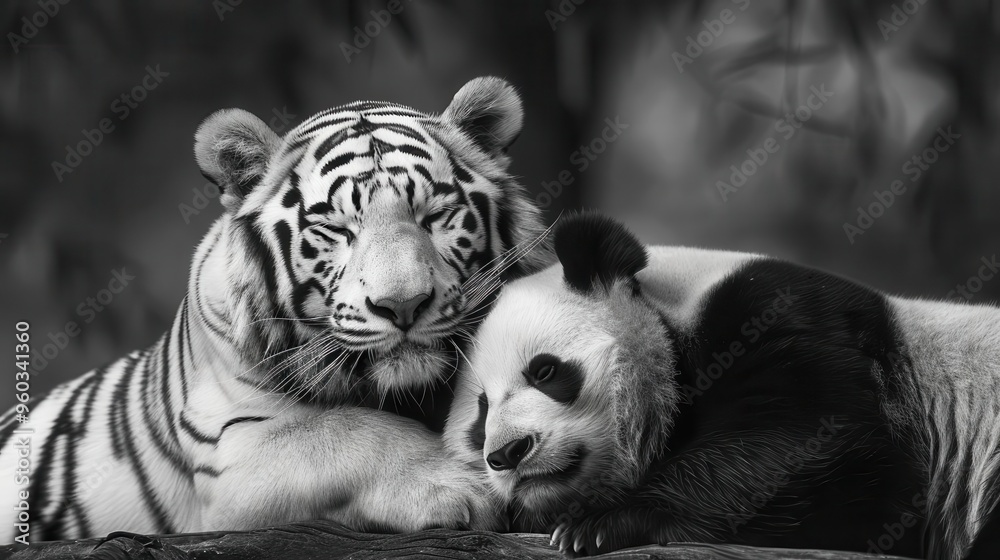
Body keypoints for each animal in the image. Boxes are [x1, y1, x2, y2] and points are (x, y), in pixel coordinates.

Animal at [0, 76, 549, 544]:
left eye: (434, 216)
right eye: (338, 230)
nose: (403, 304)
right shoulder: (231, 450)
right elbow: (348, 432)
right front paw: (461, 487)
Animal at [444, 212, 1000, 560]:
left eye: (544, 371)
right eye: (481, 411)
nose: (508, 453)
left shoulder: (784, 317)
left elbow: (831, 449)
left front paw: (599, 524)